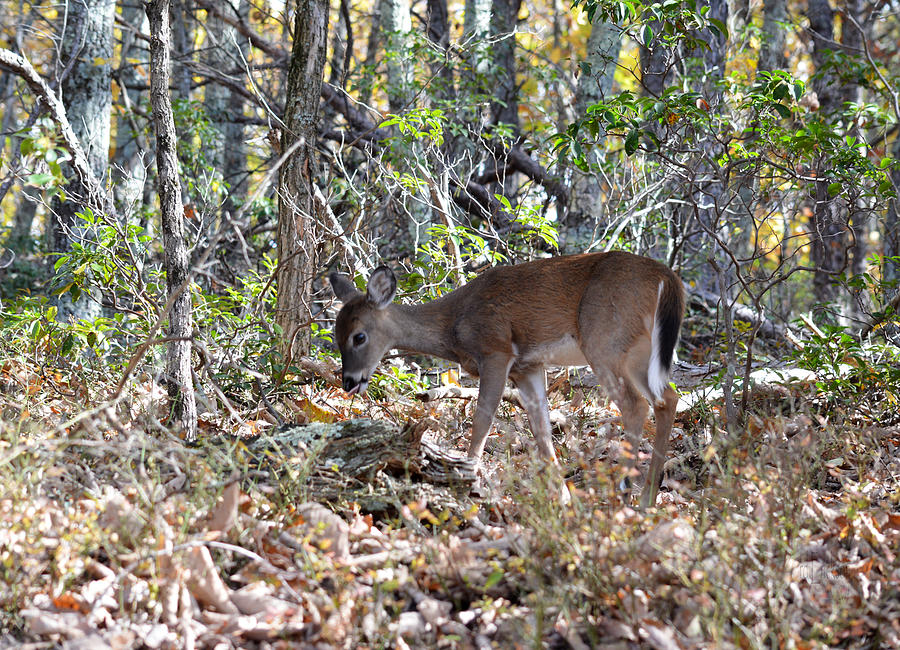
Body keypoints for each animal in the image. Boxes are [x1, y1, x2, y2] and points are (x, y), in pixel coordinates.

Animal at [328, 252, 684, 508]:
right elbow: (542, 431)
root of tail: (668, 279)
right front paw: (563, 499)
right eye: (336, 334)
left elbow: (483, 418)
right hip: (636, 350)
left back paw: (623, 492)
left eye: (359, 336)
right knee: (668, 398)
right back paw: (647, 499)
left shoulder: (496, 349)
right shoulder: (528, 367)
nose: (349, 381)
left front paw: (467, 478)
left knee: (636, 405)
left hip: (605, 339)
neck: (454, 326)